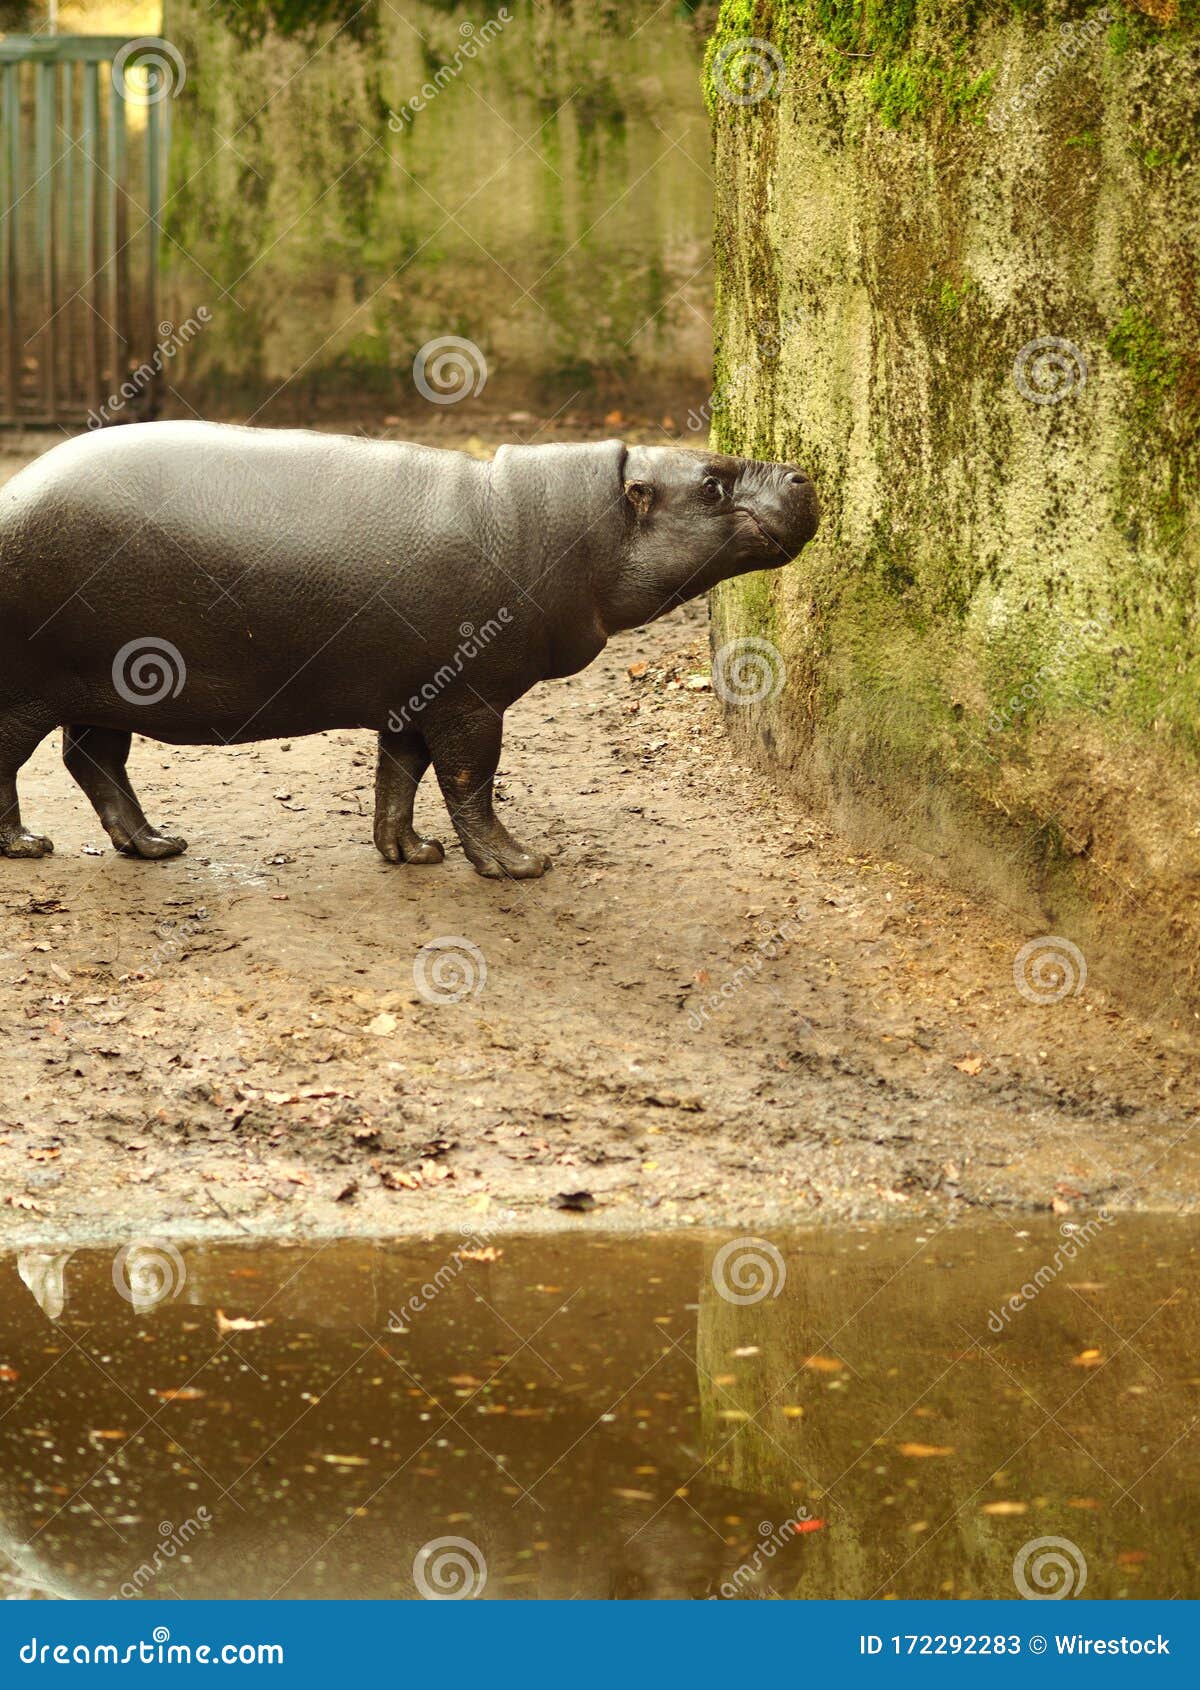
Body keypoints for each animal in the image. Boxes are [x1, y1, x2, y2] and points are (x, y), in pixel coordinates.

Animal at [0, 424, 818, 878]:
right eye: (711, 484)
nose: (804, 472)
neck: (576, 527)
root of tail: (16, 489)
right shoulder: (470, 701)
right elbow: (470, 780)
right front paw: (521, 865)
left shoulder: (413, 696)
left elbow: (399, 777)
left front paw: (412, 854)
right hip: (28, 688)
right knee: (16, 761)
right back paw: (28, 846)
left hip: (105, 689)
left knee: (95, 762)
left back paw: (157, 844)